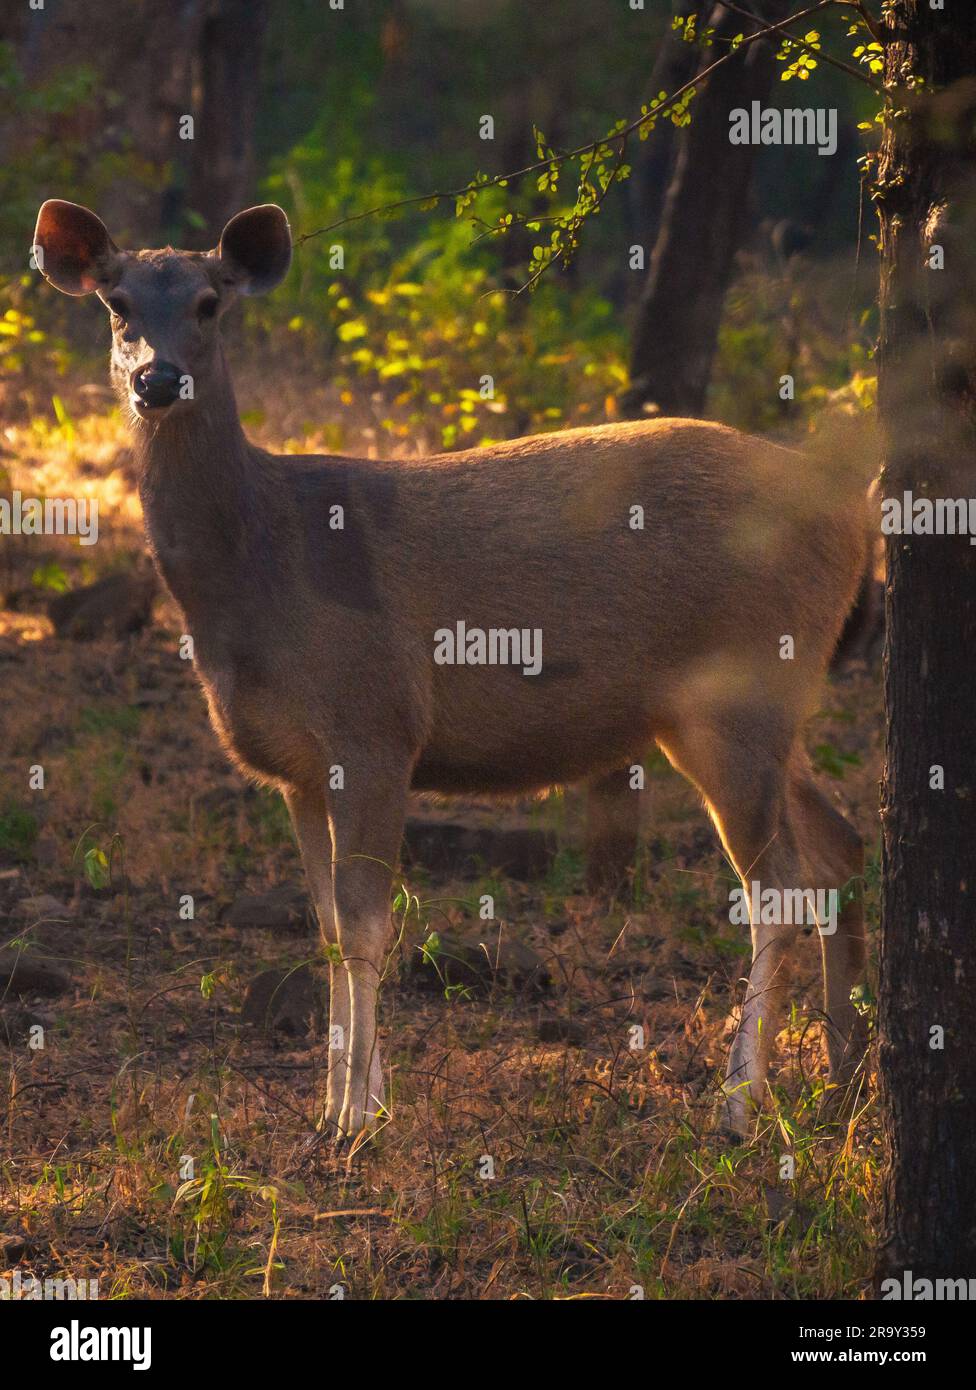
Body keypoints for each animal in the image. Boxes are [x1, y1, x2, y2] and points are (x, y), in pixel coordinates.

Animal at [33, 198, 869, 1141]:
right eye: (118, 305)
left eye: (211, 303)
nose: (158, 379)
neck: (259, 566)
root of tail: (856, 510)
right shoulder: (295, 767)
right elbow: (327, 928)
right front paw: (343, 1099)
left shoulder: (374, 721)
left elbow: (366, 926)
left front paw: (354, 1119)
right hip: (756, 708)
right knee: (839, 846)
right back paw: (842, 1073)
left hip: (740, 694)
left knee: (778, 886)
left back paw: (739, 1102)